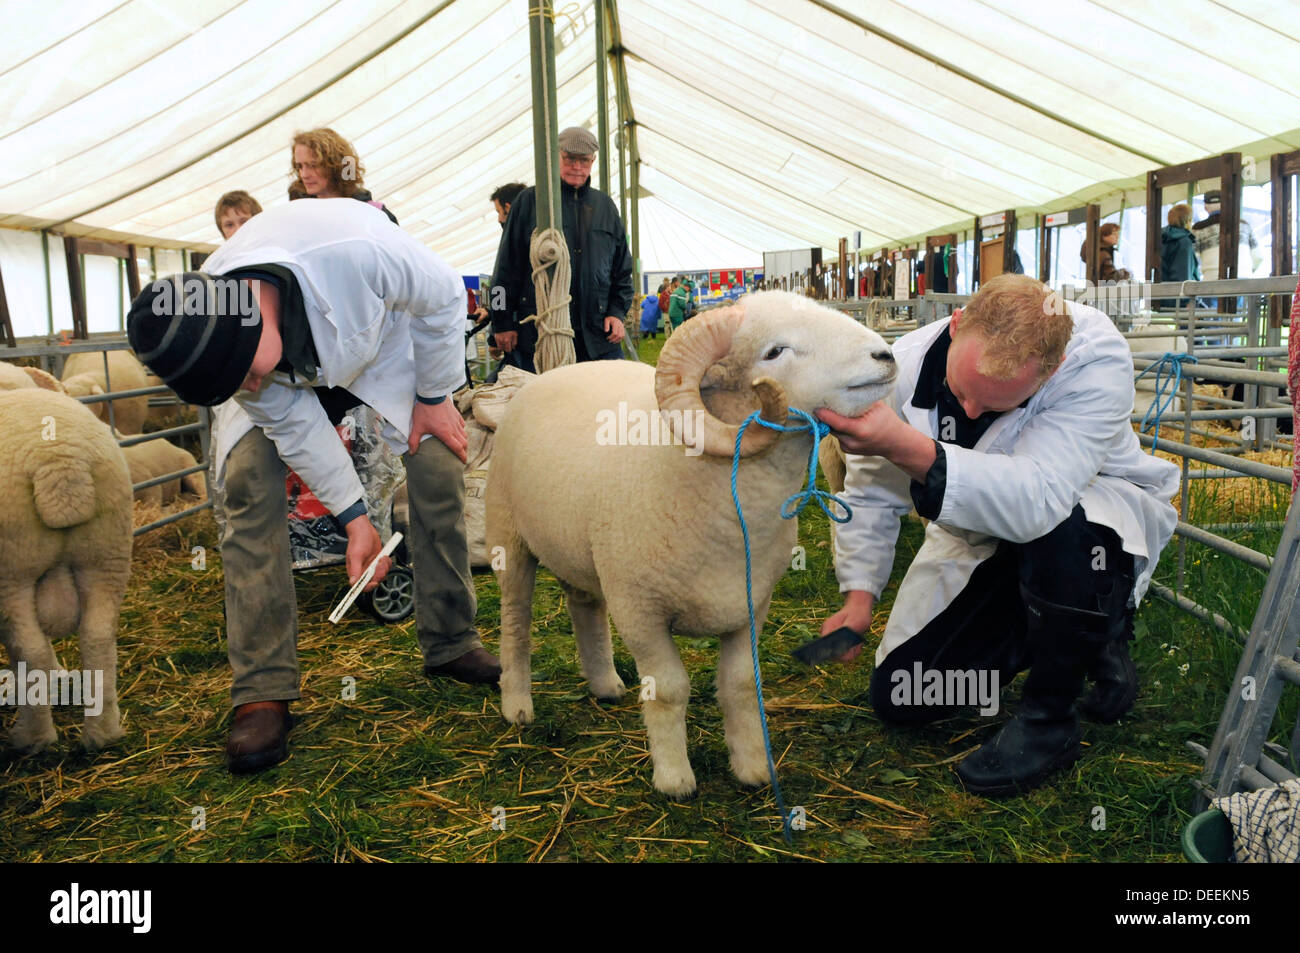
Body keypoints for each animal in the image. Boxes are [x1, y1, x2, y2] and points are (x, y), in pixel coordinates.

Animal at [0, 384, 132, 752]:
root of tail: (58, 459)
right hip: (107, 554)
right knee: (98, 638)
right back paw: (103, 733)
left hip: (11, 569)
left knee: (29, 650)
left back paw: (30, 738)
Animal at [487, 291, 896, 797]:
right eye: (774, 352)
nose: (885, 356)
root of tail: (555, 371)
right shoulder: (640, 611)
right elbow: (668, 689)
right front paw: (674, 777)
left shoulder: (751, 604)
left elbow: (740, 685)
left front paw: (752, 767)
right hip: (509, 536)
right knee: (515, 620)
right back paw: (517, 704)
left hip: (580, 550)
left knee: (583, 605)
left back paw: (604, 683)